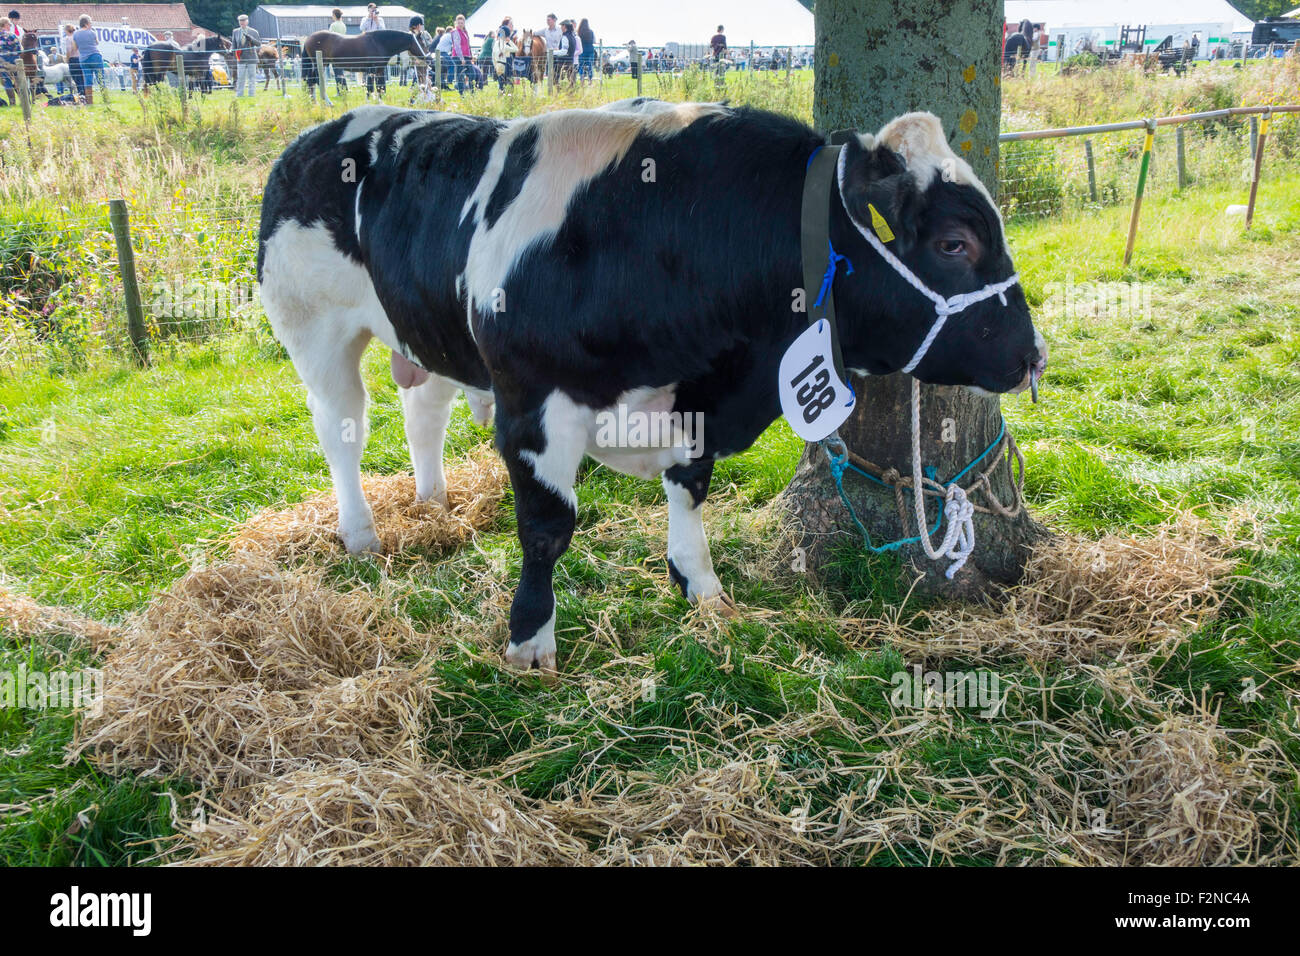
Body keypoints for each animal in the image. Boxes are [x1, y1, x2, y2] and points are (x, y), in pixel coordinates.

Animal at [257, 99, 1046, 672]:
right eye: (954, 243)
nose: (1033, 355)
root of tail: (315, 137)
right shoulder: (534, 403)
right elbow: (548, 527)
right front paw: (530, 641)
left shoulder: (694, 399)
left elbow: (690, 491)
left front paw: (702, 589)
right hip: (315, 330)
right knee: (342, 432)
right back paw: (362, 534)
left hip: (427, 332)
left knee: (423, 409)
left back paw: (432, 503)